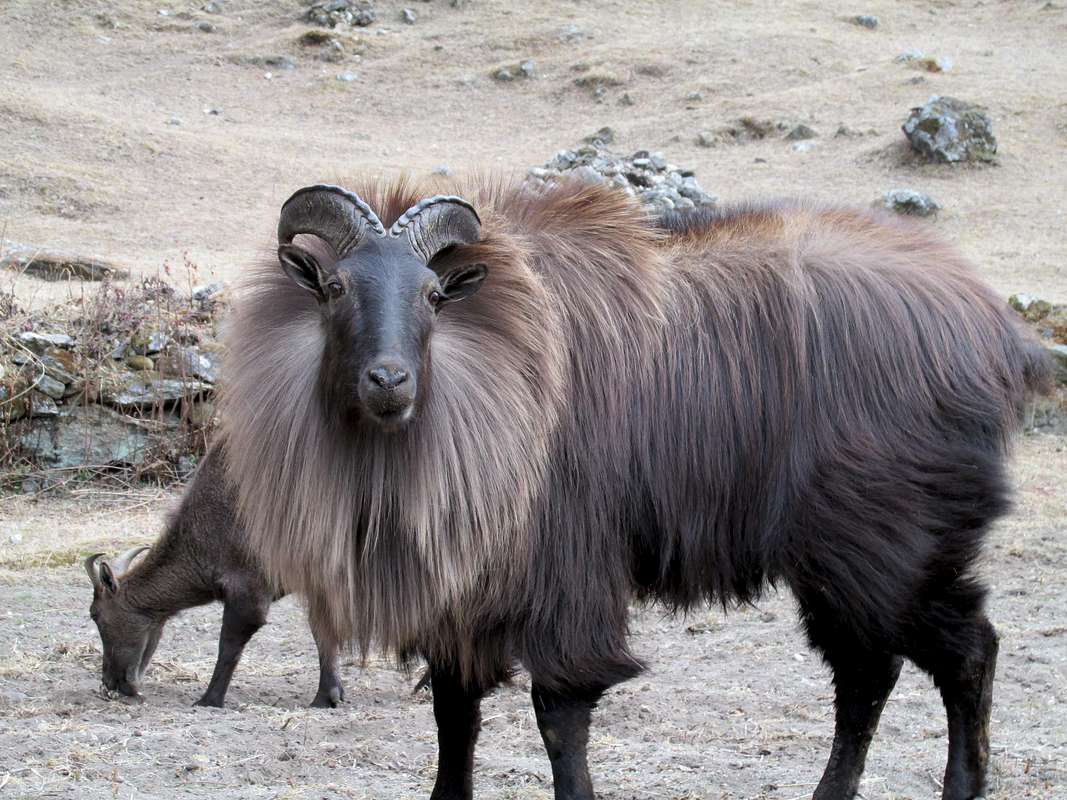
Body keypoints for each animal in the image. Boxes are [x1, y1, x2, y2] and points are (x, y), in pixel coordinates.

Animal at [84, 443, 345, 709]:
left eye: (95, 614)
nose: (109, 683)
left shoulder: (249, 588)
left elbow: (228, 644)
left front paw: (209, 699)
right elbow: (323, 632)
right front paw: (328, 695)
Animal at [220, 178, 1052, 800]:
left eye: (432, 294)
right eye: (333, 287)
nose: (388, 382)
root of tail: (995, 335)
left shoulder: (565, 584)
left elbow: (560, 715)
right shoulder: (460, 605)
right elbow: (455, 718)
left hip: (886, 552)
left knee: (958, 654)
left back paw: (957, 787)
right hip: (851, 568)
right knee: (874, 674)